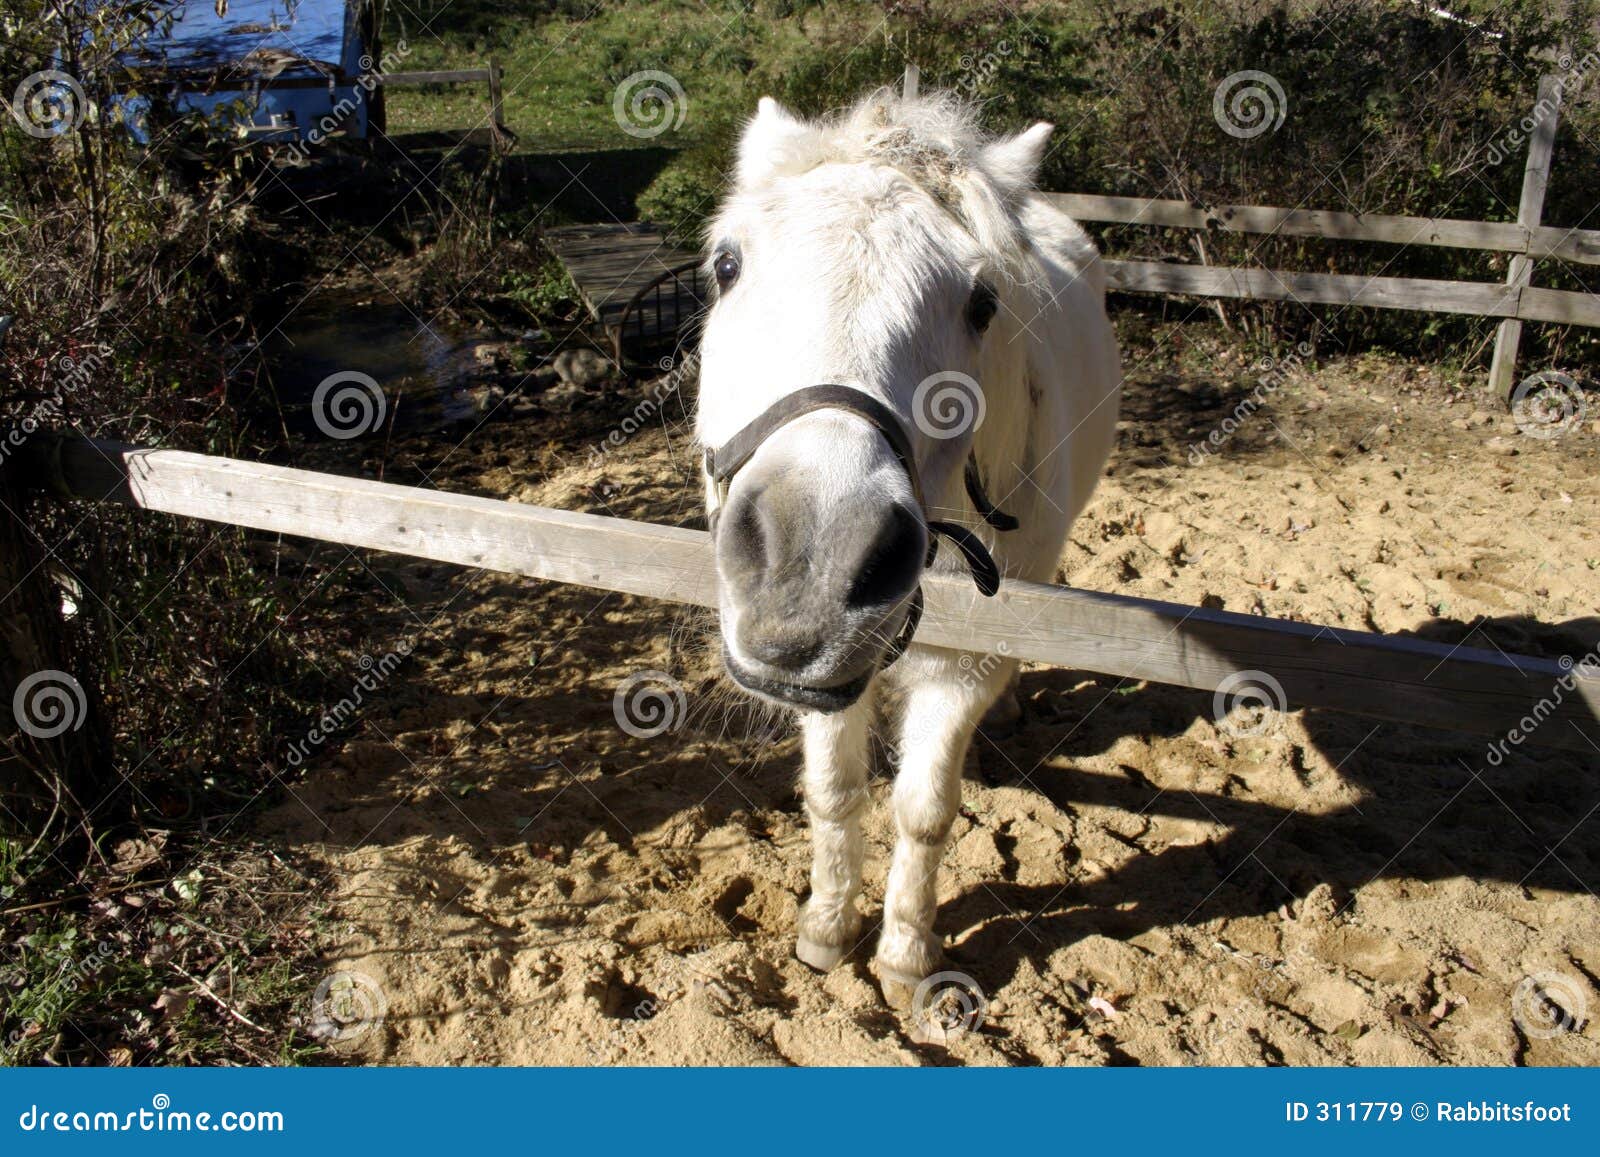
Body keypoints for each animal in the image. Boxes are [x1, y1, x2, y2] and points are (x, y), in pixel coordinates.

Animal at [693, 89, 1121, 1008]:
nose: (809, 564)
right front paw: (826, 928)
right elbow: (835, 790)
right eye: (727, 265)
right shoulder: (830, 680)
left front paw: (904, 954)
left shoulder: (961, 668)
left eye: (984, 300)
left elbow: (923, 813)